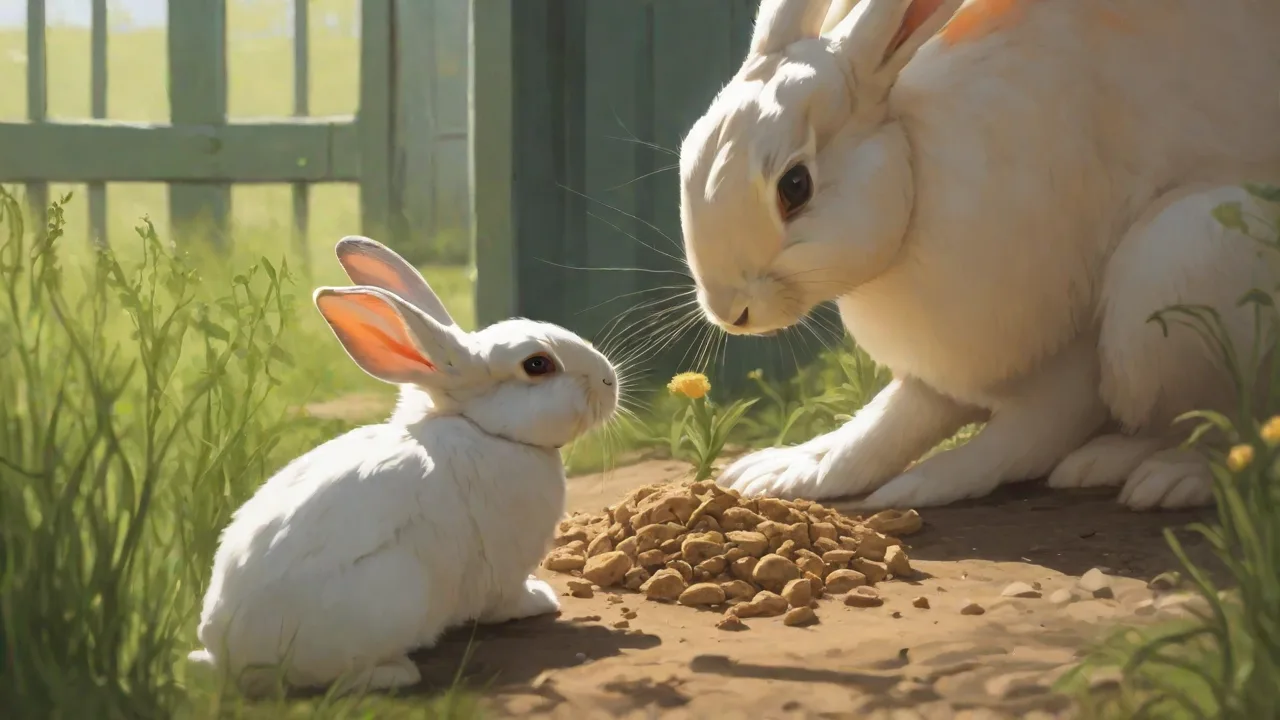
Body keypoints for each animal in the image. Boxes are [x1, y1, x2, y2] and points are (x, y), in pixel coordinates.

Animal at [187, 236, 619, 697]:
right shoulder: (503, 571)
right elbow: (506, 601)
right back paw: (397, 673)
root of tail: (227, 658)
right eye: (538, 364)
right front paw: (541, 599)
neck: (484, 431)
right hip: (391, 596)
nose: (610, 381)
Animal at [678, 0, 1280, 511]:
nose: (731, 312)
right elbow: (887, 424)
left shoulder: (1069, 350)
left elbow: (1025, 436)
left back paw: (1164, 476)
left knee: (1237, 432)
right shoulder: (944, 369)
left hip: (1174, 268)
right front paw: (782, 471)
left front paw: (924, 484)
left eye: (794, 186)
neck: (916, 169)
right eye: (687, 149)